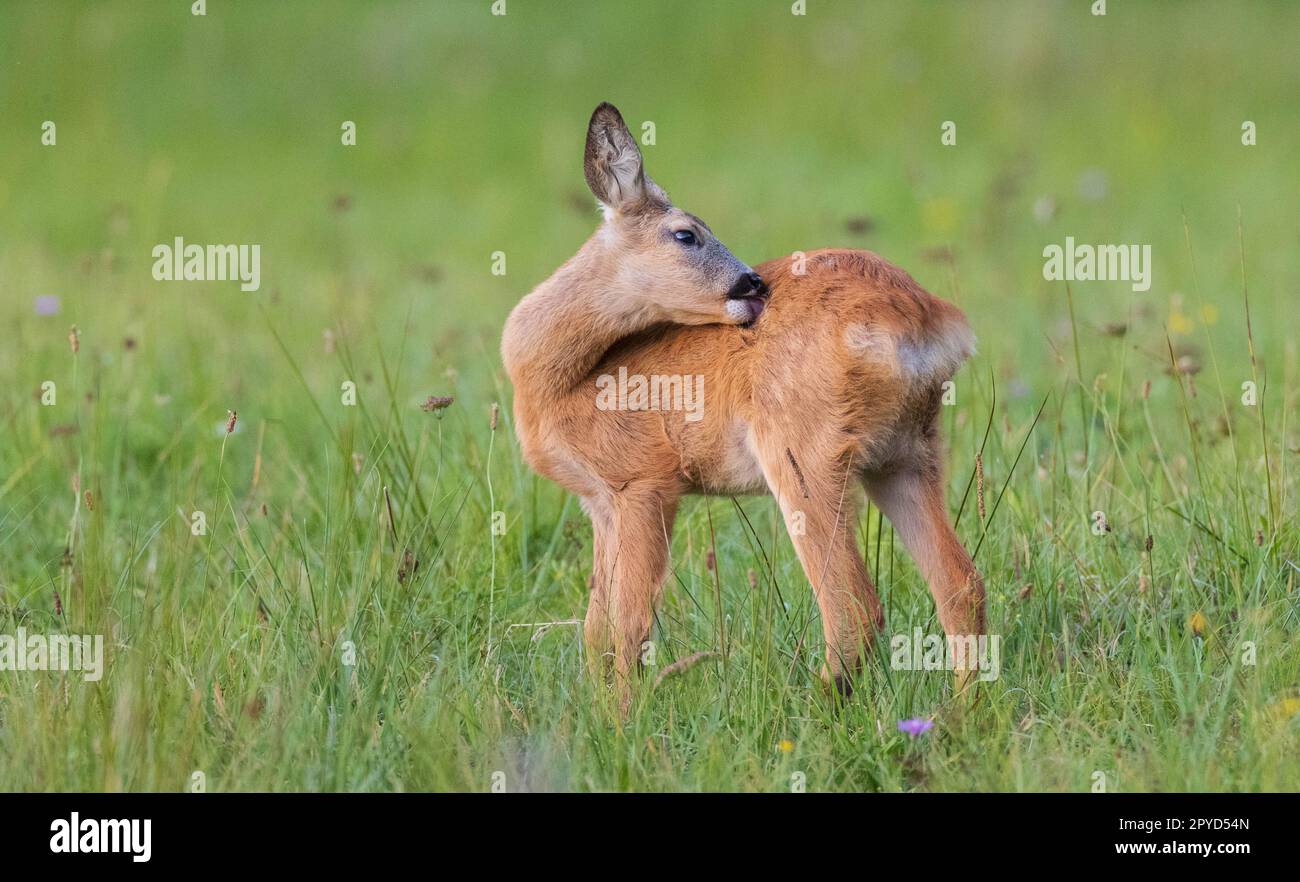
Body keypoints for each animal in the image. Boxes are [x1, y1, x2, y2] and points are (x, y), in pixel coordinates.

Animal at [501, 103, 985, 710]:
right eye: (686, 233)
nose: (753, 282)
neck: (566, 382)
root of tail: (925, 320)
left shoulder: (643, 482)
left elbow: (629, 624)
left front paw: (621, 719)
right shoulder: (599, 501)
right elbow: (594, 626)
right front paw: (594, 710)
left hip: (805, 453)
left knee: (852, 606)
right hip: (908, 454)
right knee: (960, 583)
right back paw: (962, 711)